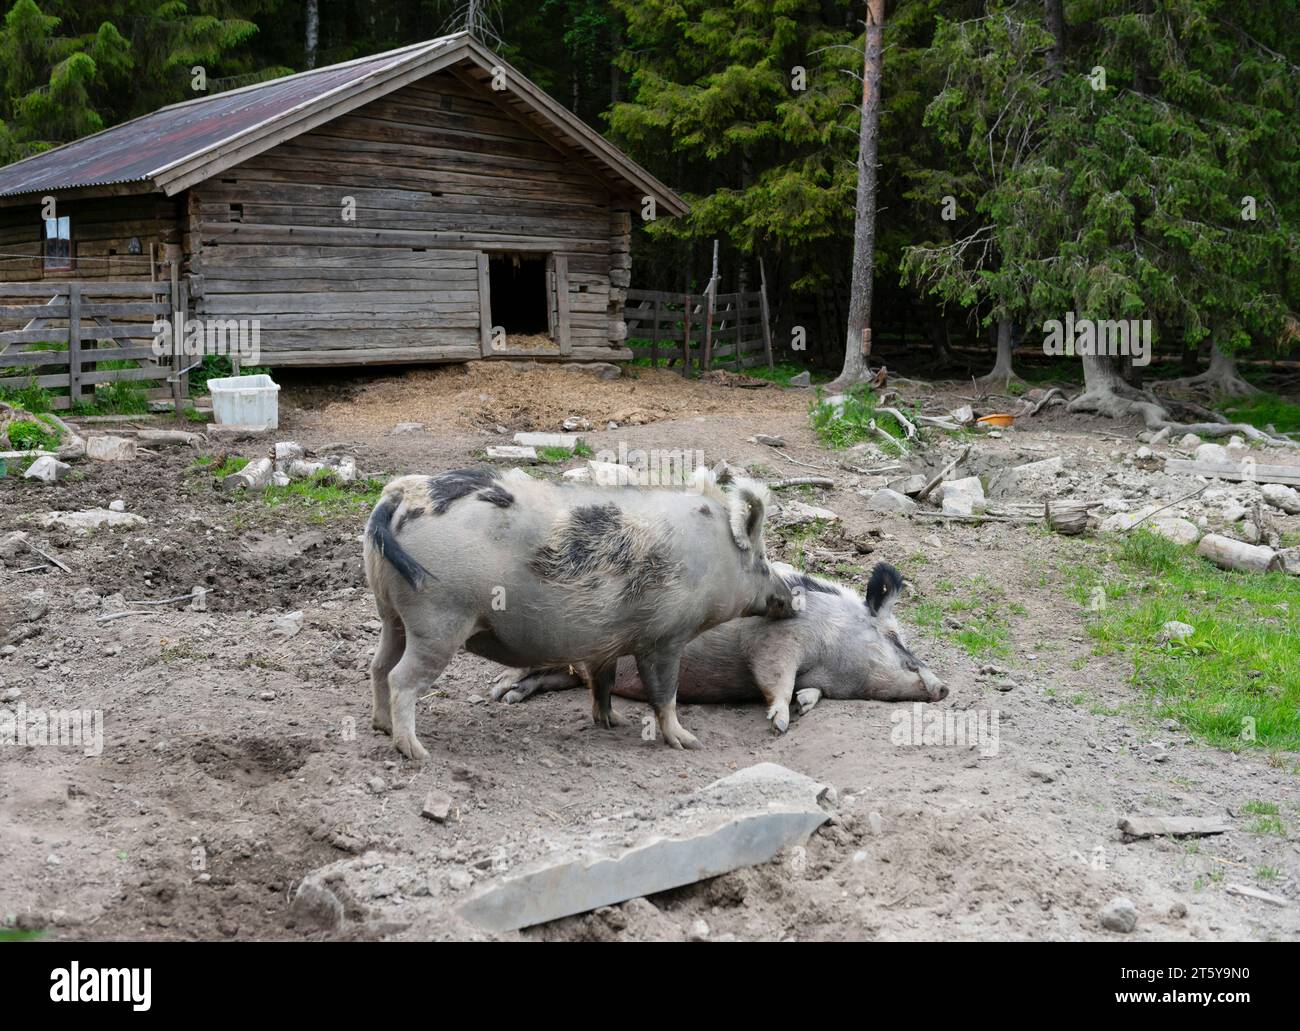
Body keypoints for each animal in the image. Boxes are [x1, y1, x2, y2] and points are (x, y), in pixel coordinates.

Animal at [364, 465, 793, 760]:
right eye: (761, 559)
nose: (789, 597)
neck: (710, 559)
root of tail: (400, 494)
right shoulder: (664, 638)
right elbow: (664, 693)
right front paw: (689, 742)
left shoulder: (606, 642)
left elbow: (602, 682)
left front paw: (611, 723)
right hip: (437, 620)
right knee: (401, 678)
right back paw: (416, 752)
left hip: (391, 614)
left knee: (379, 666)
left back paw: (381, 727)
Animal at [492, 561, 946, 734]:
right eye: (893, 636)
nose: (944, 687)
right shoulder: (775, 642)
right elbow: (776, 679)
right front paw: (779, 724)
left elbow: (808, 691)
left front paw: (802, 705)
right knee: (527, 665)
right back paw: (497, 690)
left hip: (575, 670)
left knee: (557, 678)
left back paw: (511, 697)